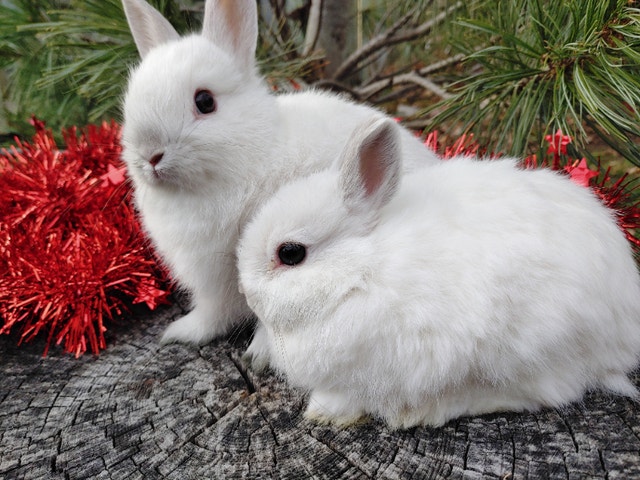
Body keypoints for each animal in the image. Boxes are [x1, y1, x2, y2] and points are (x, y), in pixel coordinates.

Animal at [120, 0, 440, 347]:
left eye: (205, 101)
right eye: (130, 102)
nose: (149, 156)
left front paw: (251, 349)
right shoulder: (213, 283)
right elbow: (215, 313)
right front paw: (182, 332)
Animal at [237, 117, 640, 428]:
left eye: (290, 253)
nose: (247, 293)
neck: (362, 269)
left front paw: (325, 412)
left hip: (538, 347)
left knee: (552, 391)